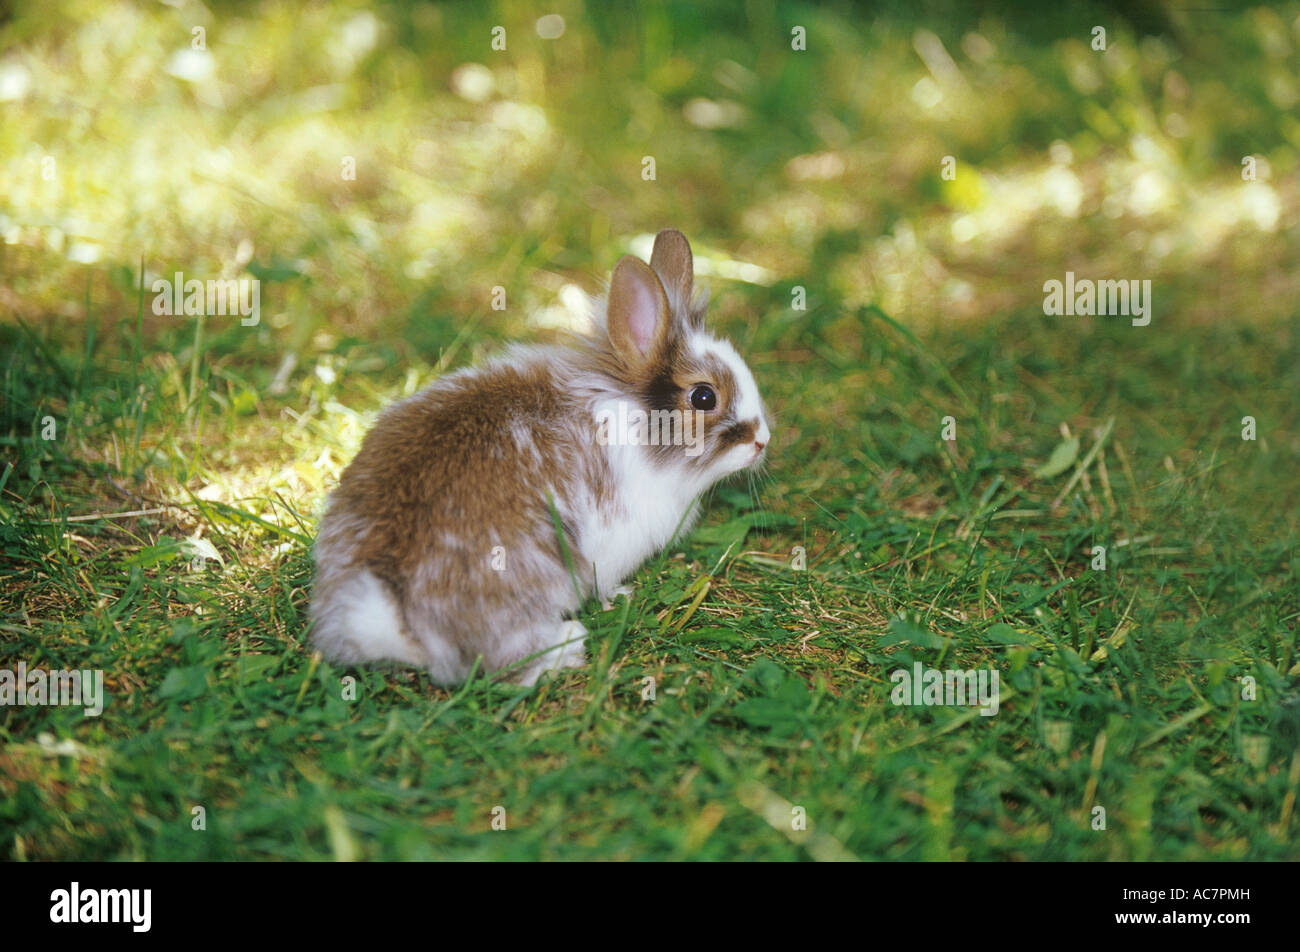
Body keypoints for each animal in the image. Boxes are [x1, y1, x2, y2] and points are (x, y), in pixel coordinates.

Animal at [310, 229, 771, 686]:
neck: (635, 418)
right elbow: (605, 582)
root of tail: (397, 619)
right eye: (704, 396)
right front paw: (621, 597)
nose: (763, 440)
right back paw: (567, 645)